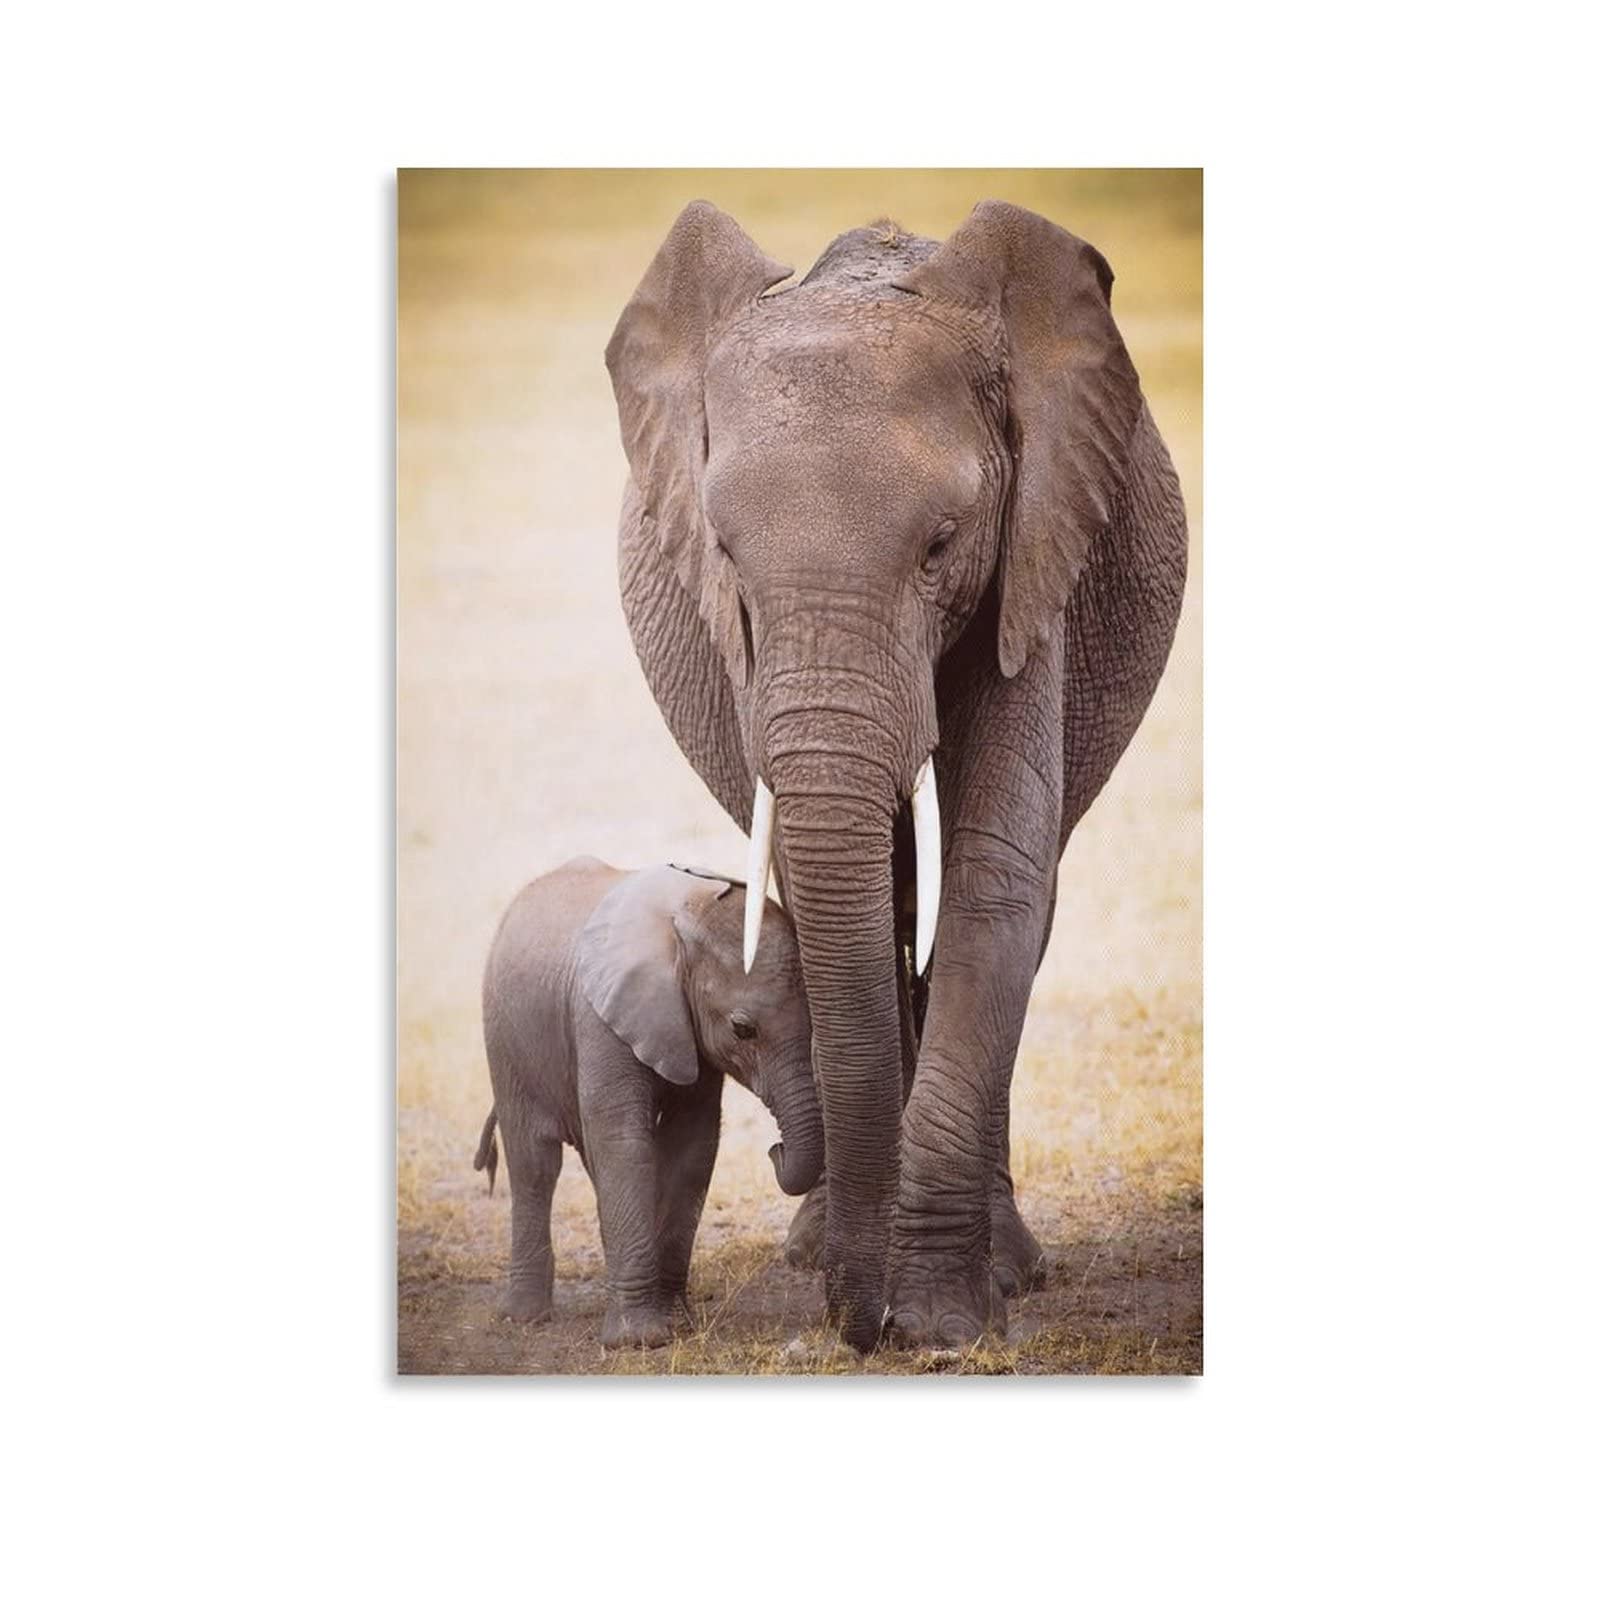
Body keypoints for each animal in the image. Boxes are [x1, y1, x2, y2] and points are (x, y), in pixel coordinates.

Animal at [476, 858, 822, 1349]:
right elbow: (623, 1141)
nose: (776, 1149)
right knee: (534, 1163)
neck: (685, 920)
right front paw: (638, 1341)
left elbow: (692, 1145)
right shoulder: (599, 1017)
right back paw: (524, 1317)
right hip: (505, 1039)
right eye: (742, 1029)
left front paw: (676, 1323)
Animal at [605, 200, 1187, 1352]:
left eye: (940, 546)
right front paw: (875, 1291)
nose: (854, 1324)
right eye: (725, 556)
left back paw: (1007, 1269)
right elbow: (837, 892)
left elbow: (993, 879)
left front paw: (943, 1322)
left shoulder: (1035, 555)